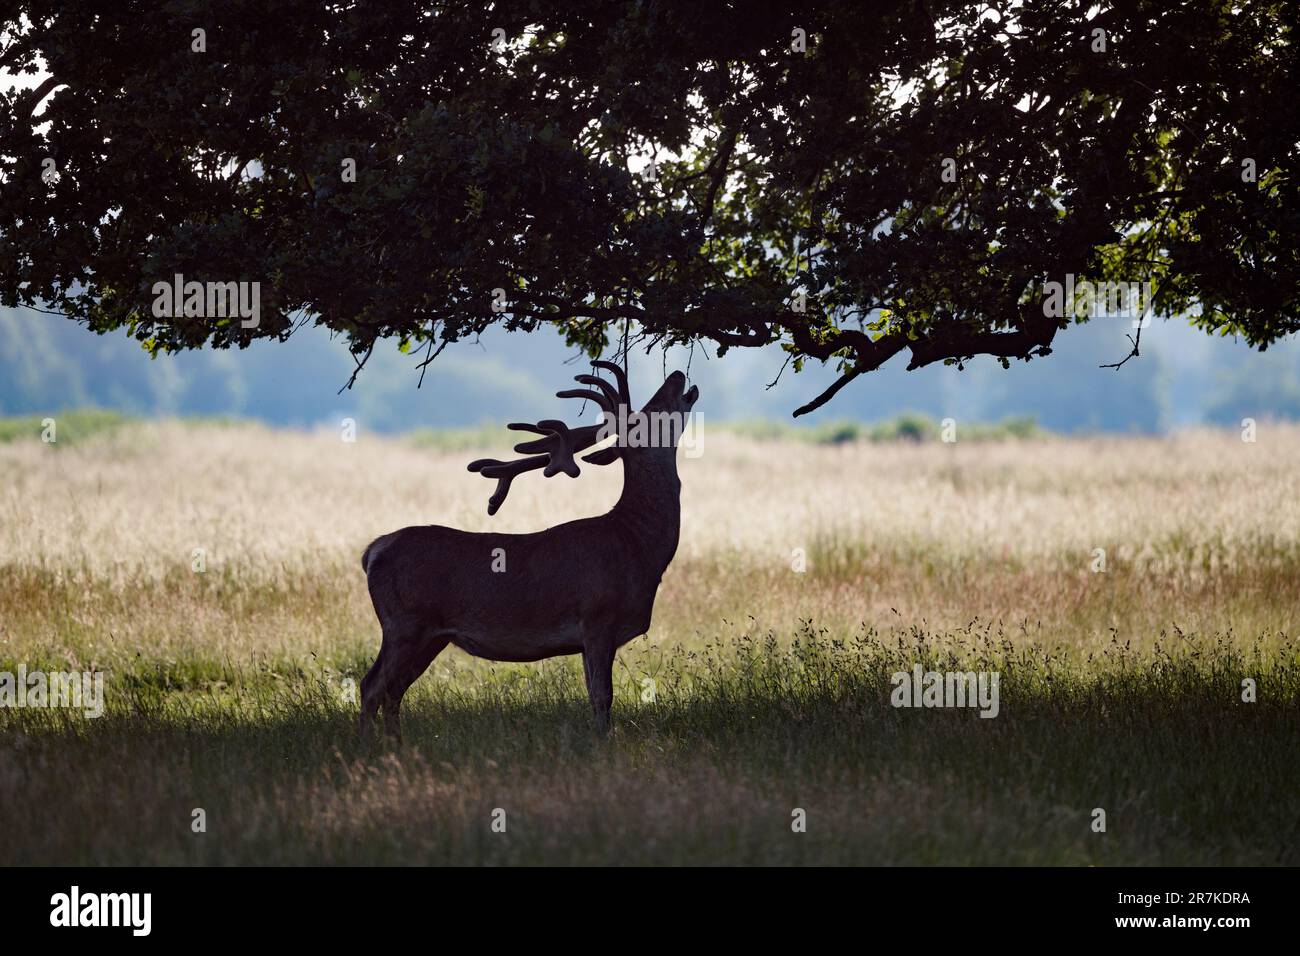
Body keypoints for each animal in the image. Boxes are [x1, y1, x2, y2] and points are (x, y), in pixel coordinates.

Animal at [359, 361, 699, 740]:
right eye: (647, 416)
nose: (676, 376)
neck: (637, 545)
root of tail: (372, 551)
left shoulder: (588, 637)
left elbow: (593, 692)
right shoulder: (598, 616)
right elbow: (602, 696)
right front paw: (603, 743)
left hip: (429, 636)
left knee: (393, 691)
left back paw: (396, 744)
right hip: (404, 623)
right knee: (371, 686)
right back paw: (368, 746)